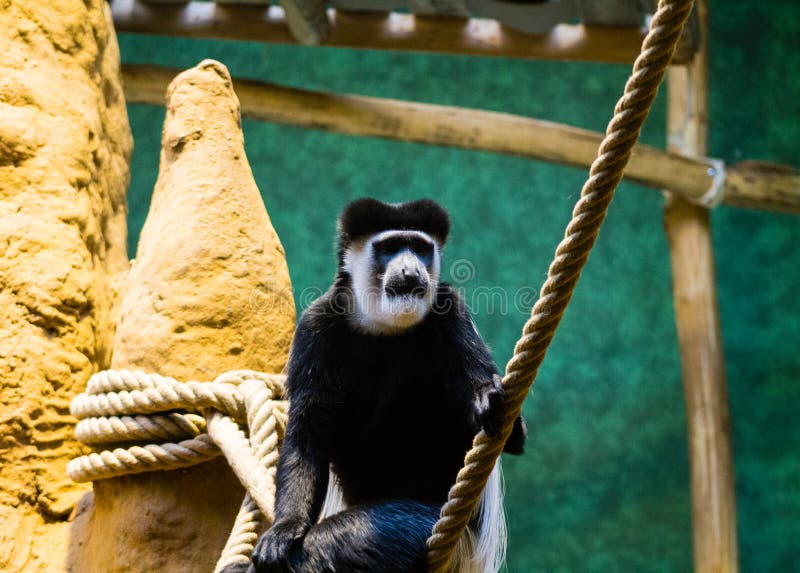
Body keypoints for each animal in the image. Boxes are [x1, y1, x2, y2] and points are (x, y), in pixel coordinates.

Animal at [239, 198, 527, 573]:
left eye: (420, 248)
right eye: (390, 247)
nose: (411, 271)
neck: (382, 327)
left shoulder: (452, 313)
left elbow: (509, 436)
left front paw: (489, 398)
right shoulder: (314, 328)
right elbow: (307, 434)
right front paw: (283, 530)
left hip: (428, 527)